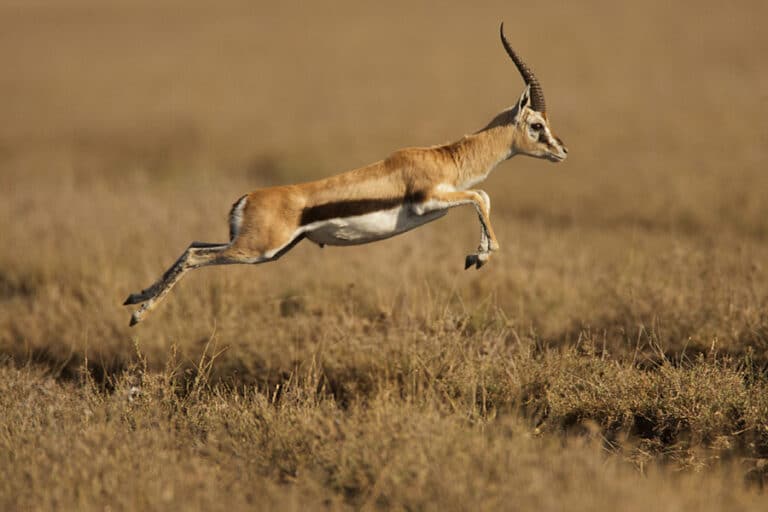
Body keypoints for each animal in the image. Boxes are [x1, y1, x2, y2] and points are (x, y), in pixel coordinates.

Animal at [124, 23, 568, 326]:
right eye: (536, 126)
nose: (562, 151)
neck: (446, 158)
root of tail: (244, 200)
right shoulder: (429, 200)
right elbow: (479, 196)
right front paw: (480, 255)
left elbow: (483, 197)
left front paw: (477, 255)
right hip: (257, 250)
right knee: (195, 255)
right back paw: (139, 314)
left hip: (265, 250)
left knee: (192, 244)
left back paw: (133, 298)